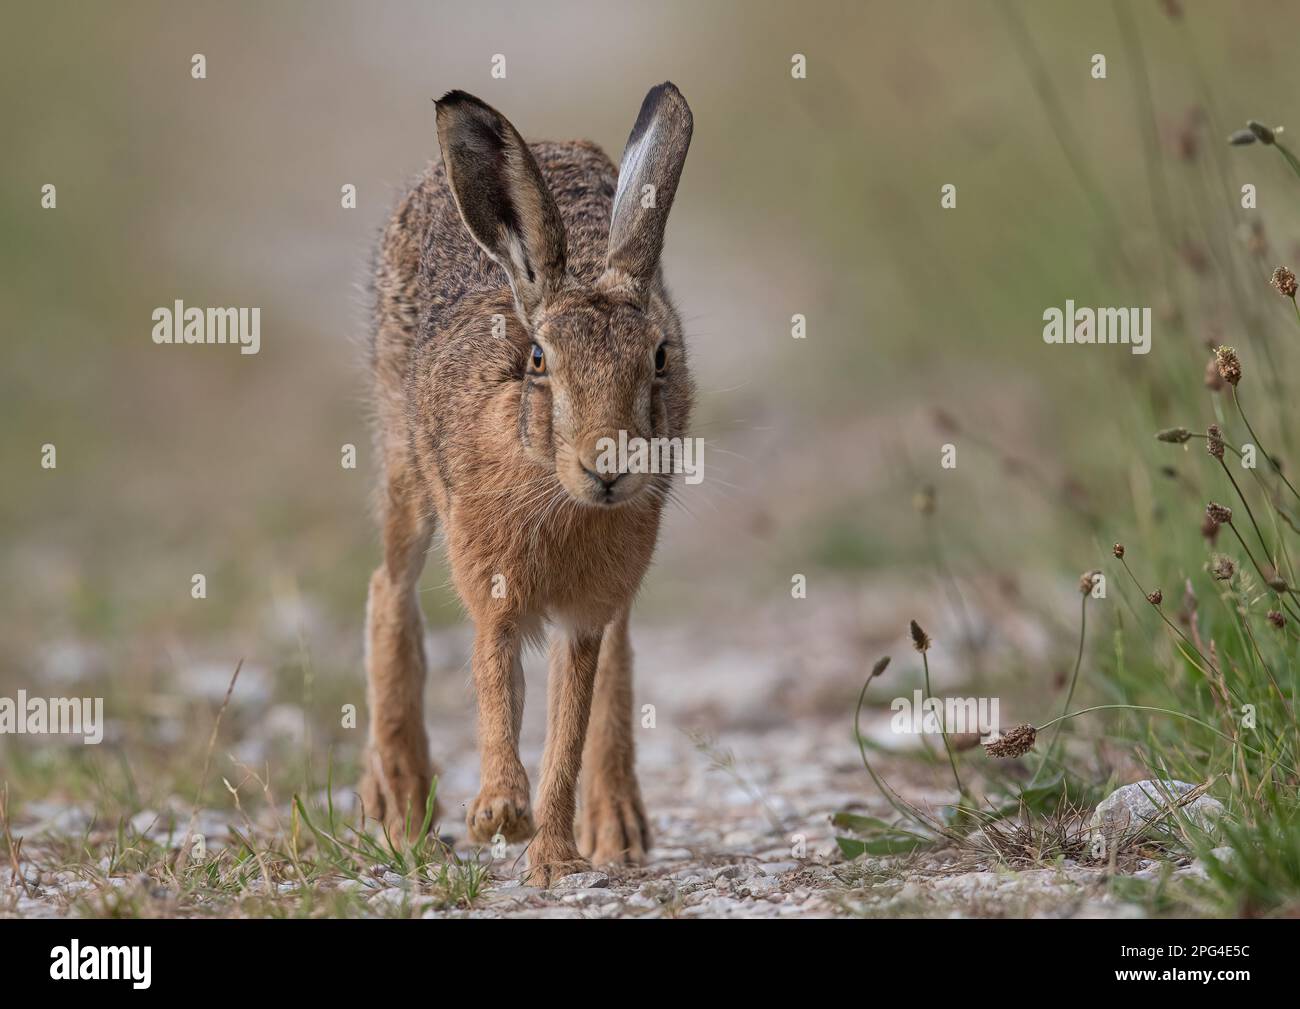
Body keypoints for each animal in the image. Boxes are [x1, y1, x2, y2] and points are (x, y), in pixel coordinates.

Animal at [360, 83, 694, 884]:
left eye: (659, 357)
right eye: (538, 360)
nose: (610, 466)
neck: (556, 491)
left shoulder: (586, 613)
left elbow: (569, 720)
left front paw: (551, 857)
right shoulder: (492, 586)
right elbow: (492, 684)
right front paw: (497, 814)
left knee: (619, 661)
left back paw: (618, 826)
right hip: (404, 466)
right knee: (389, 593)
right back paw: (398, 808)